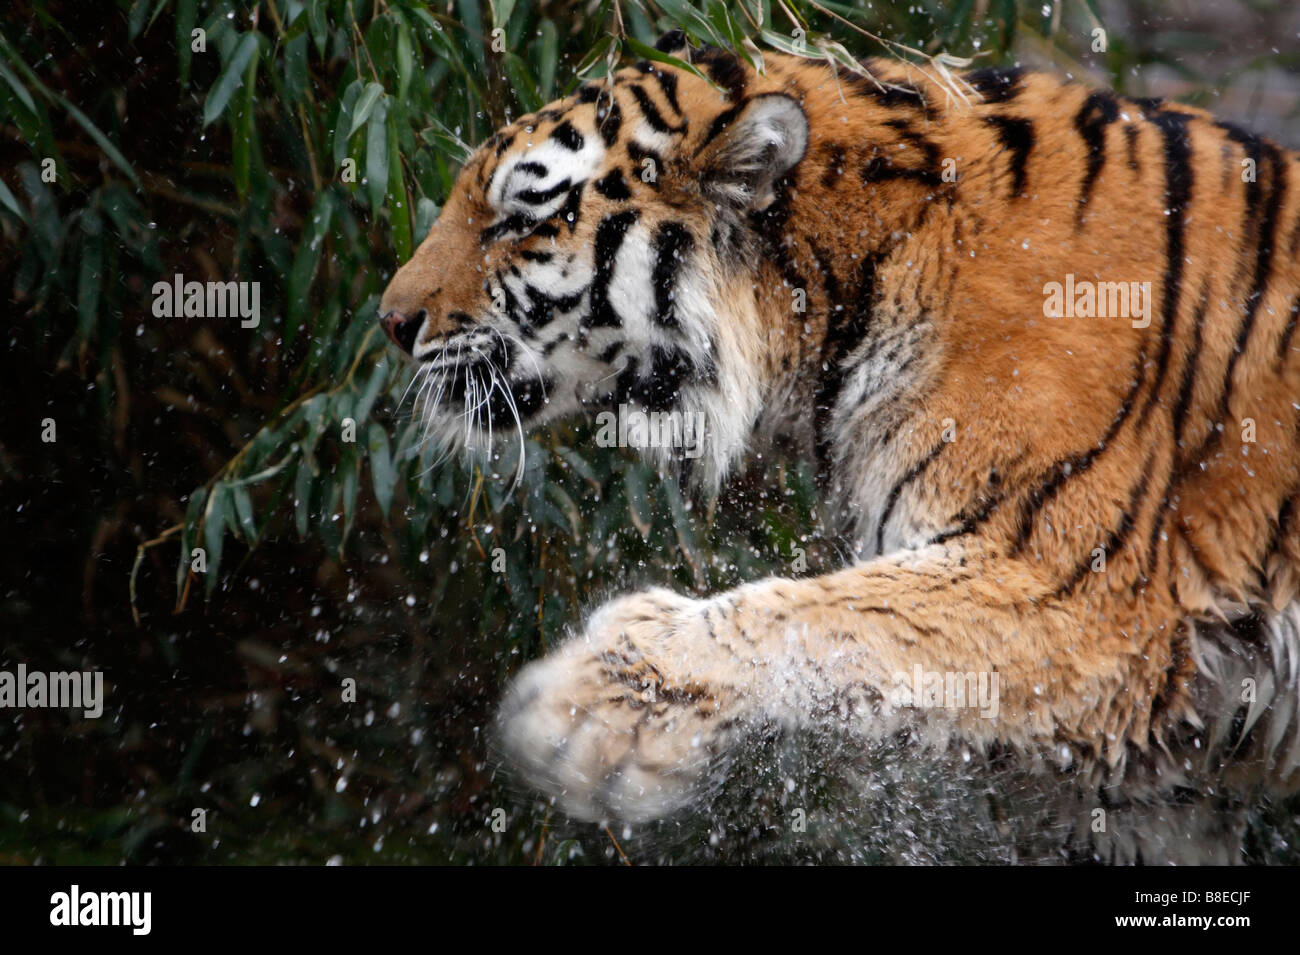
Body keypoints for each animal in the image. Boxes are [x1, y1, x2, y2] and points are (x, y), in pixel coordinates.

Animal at [378, 30, 1300, 862]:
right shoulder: (1171, 761)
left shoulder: (1083, 596)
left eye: (518, 221)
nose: (389, 321)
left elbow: (815, 612)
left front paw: (588, 709)